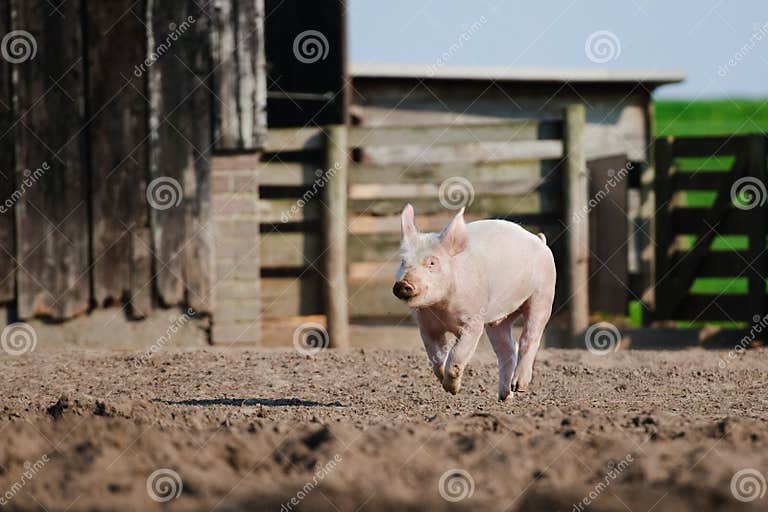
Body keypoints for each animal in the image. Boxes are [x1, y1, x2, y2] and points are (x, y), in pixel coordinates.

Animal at [392, 204, 556, 401]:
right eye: (403, 261)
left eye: (432, 262)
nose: (402, 284)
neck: (442, 309)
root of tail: (540, 241)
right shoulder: (426, 326)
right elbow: (436, 358)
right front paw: (445, 383)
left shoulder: (473, 320)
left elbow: (456, 355)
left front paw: (453, 390)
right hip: (498, 319)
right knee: (507, 348)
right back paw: (504, 396)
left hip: (544, 293)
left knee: (530, 337)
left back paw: (519, 386)